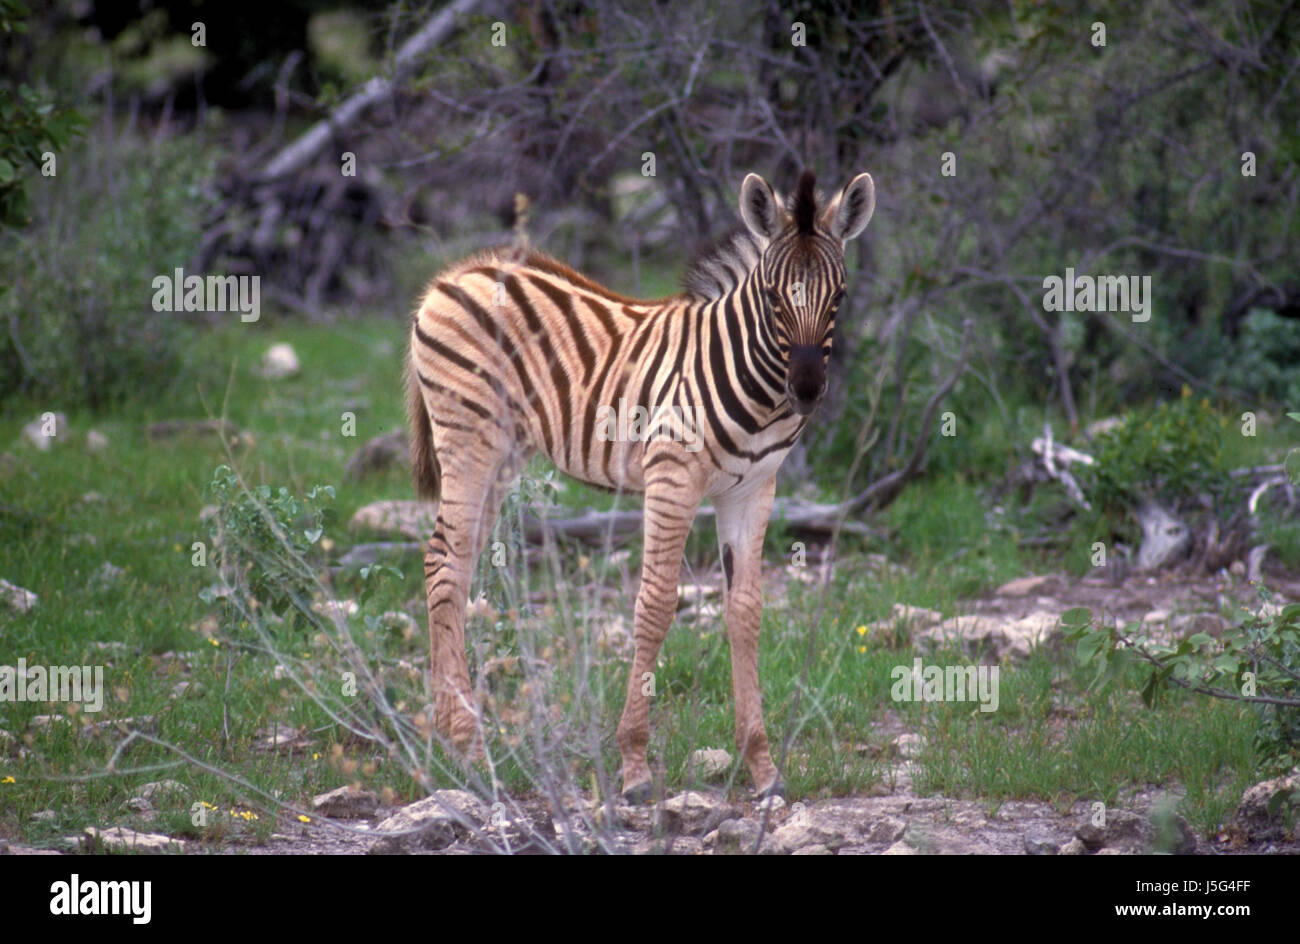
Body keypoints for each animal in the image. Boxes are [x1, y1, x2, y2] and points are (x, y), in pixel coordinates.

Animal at [406, 169, 875, 801]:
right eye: (775, 298)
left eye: (840, 297)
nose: (806, 392)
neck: (753, 383)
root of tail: (455, 275)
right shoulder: (671, 478)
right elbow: (655, 604)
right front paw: (634, 767)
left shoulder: (753, 488)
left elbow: (746, 610)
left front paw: (762, 767)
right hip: (468, 441)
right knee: (444, 561)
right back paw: (470, 749)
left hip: (504, 452)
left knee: (456, 563)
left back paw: (453, 740)